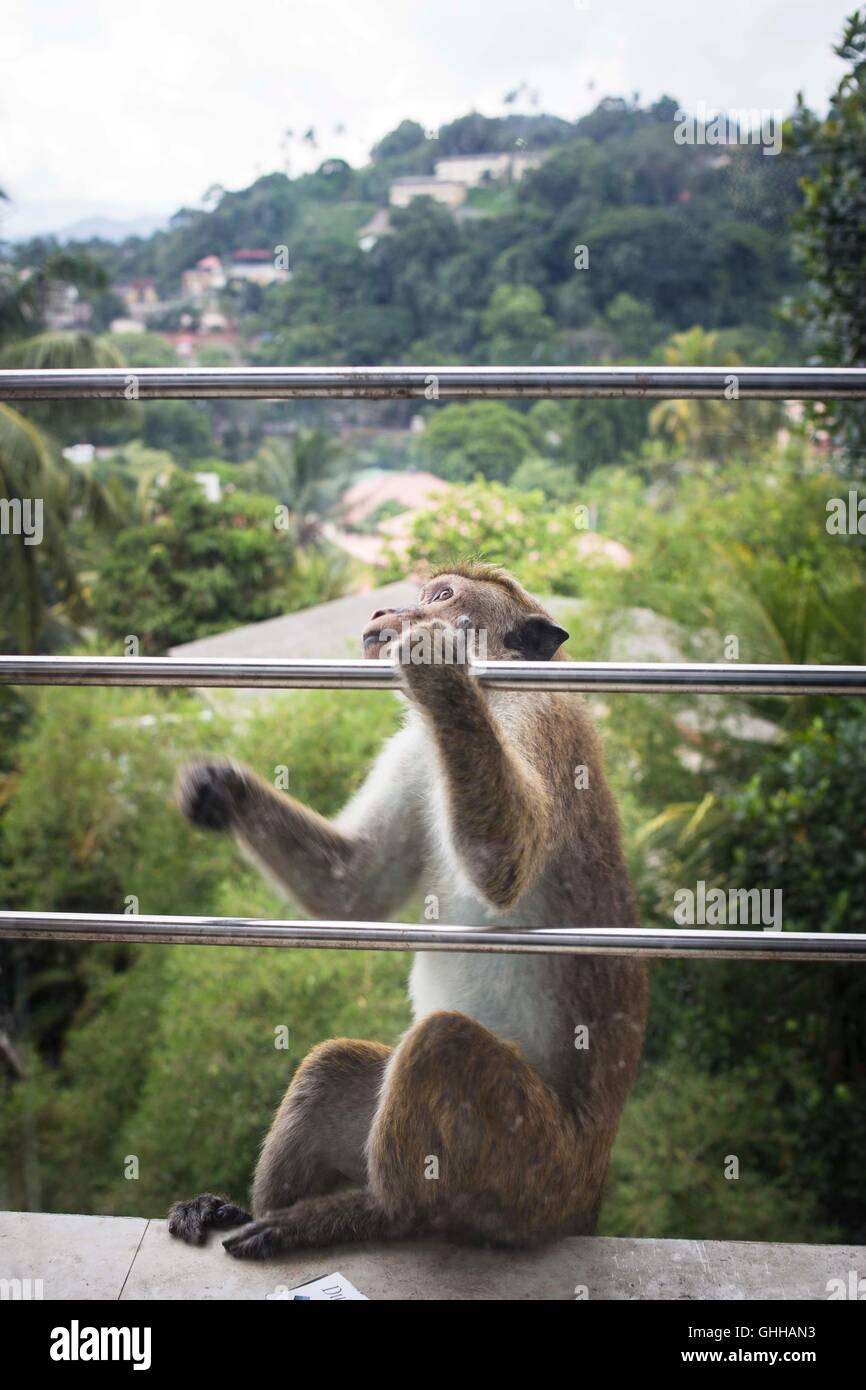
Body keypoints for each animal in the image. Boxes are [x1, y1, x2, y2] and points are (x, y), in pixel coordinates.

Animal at [168, 562, 648, 1258]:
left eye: (441, 596)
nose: (383, 612)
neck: (489, 701)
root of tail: (589, 1192)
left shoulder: (537, 717)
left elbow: (504, 866)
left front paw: (437, 669)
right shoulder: (415, 752)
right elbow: (353, 887)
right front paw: (219, 788)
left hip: (534, 1174)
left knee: (443, 1047)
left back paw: (381, 1214)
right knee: (332, 1068)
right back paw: (238, 1211)